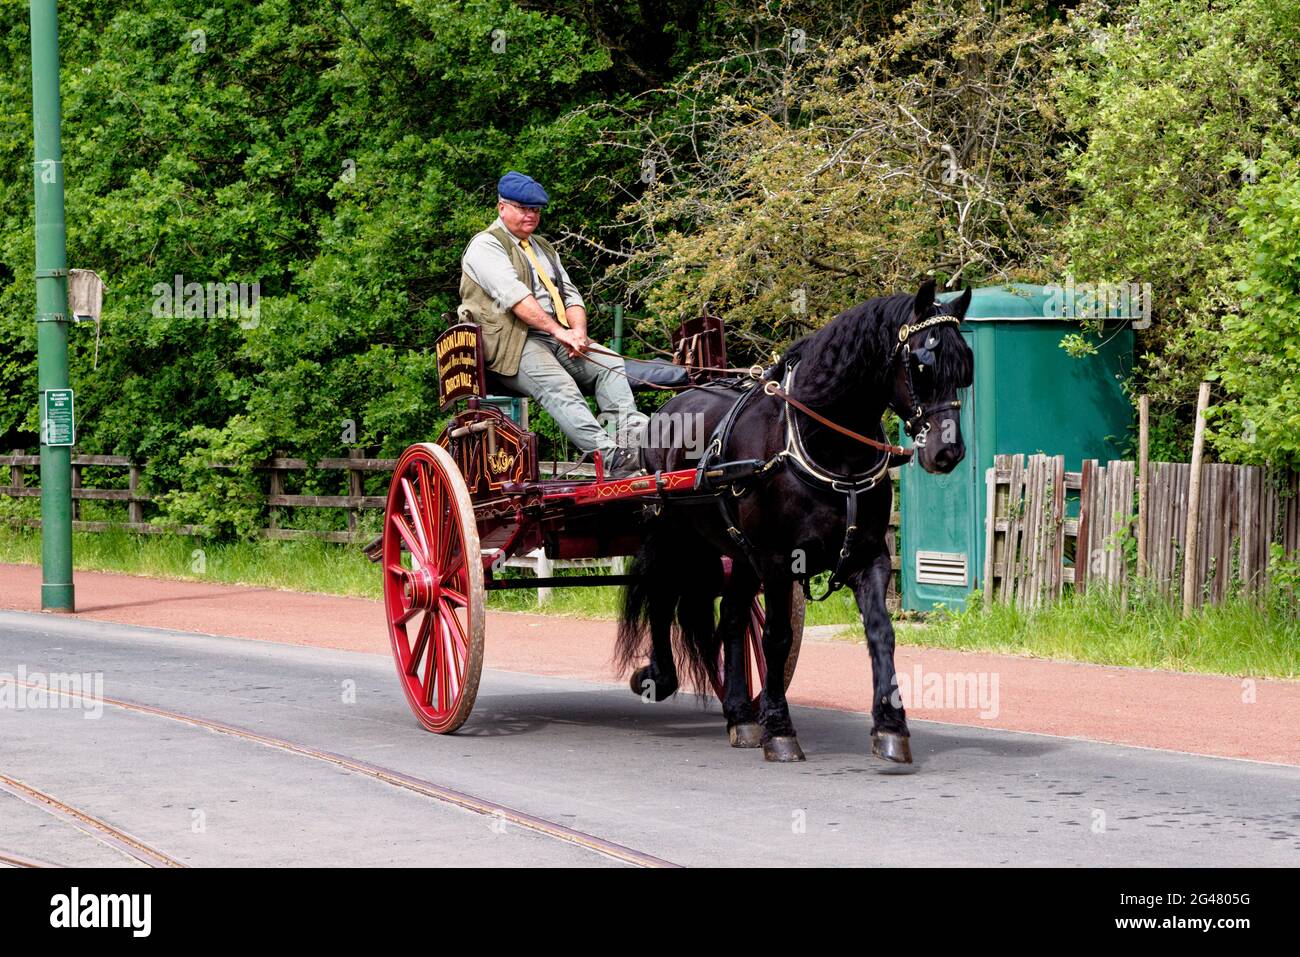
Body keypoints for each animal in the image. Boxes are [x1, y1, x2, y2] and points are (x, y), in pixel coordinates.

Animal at [616, 278, 974, 765]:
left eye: (965, 367)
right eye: (922, 364)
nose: (946, 452)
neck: (825, 446)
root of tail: (674, 403)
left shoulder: (869, 556)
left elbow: (881, 631)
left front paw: (890, 725)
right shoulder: (777, 559)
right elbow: (777, 637)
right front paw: (780, 729)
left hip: (737, 552)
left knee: (731, 618)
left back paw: (740, 714)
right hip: (673, 536)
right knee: (662, 596)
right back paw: (662, 677)